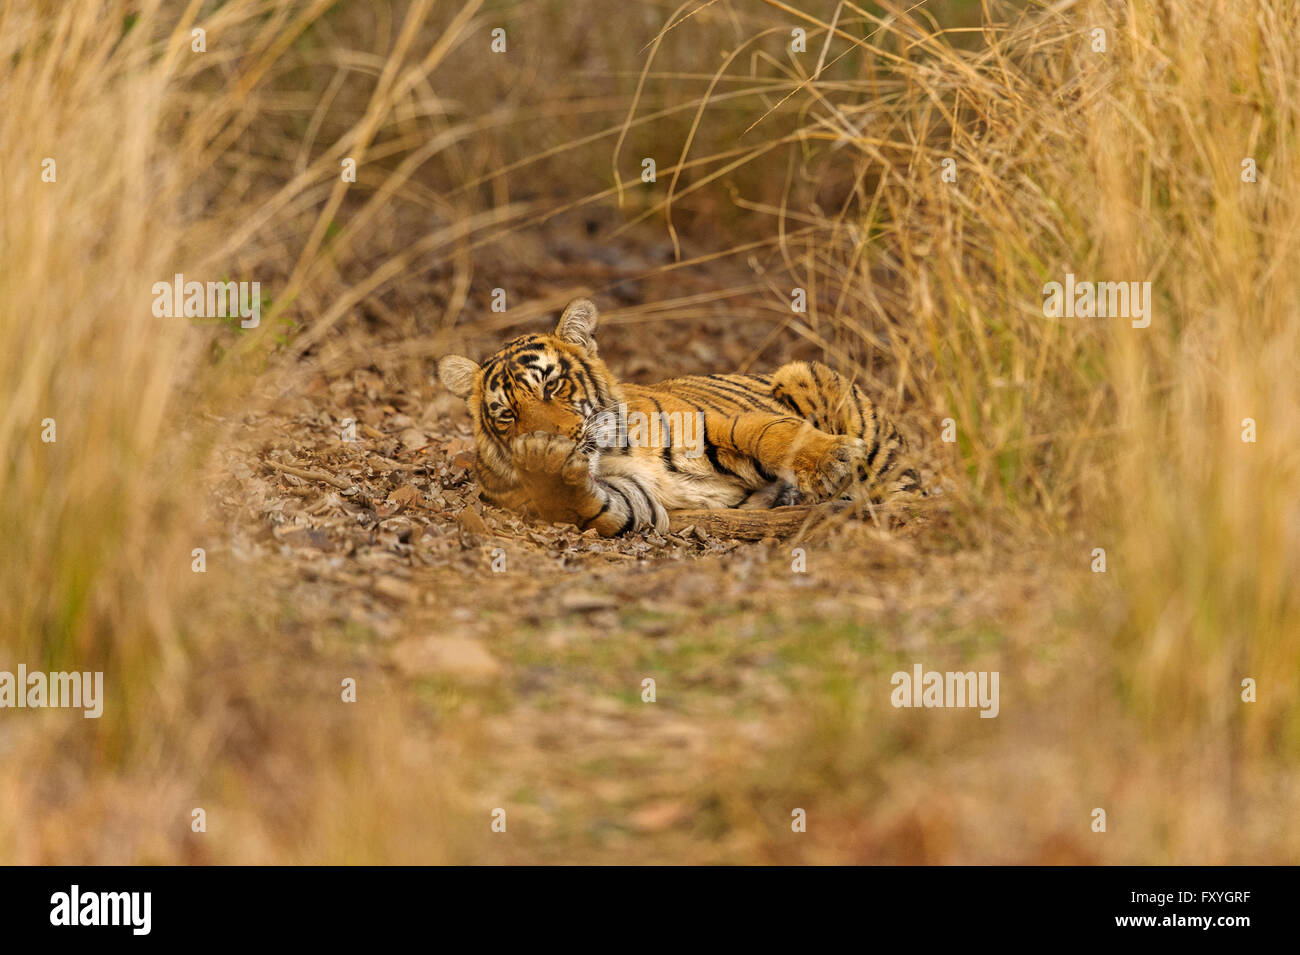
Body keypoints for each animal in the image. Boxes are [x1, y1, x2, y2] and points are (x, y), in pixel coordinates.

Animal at [437, 298, 922, 537]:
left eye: (551, 386)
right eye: (507, 413)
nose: (547, 442)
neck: (607, 457)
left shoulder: (708, 422)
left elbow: (768, 432)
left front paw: (831, 459)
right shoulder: (632, 499)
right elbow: (589, 505)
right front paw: (548, 464)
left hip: (810, 377)